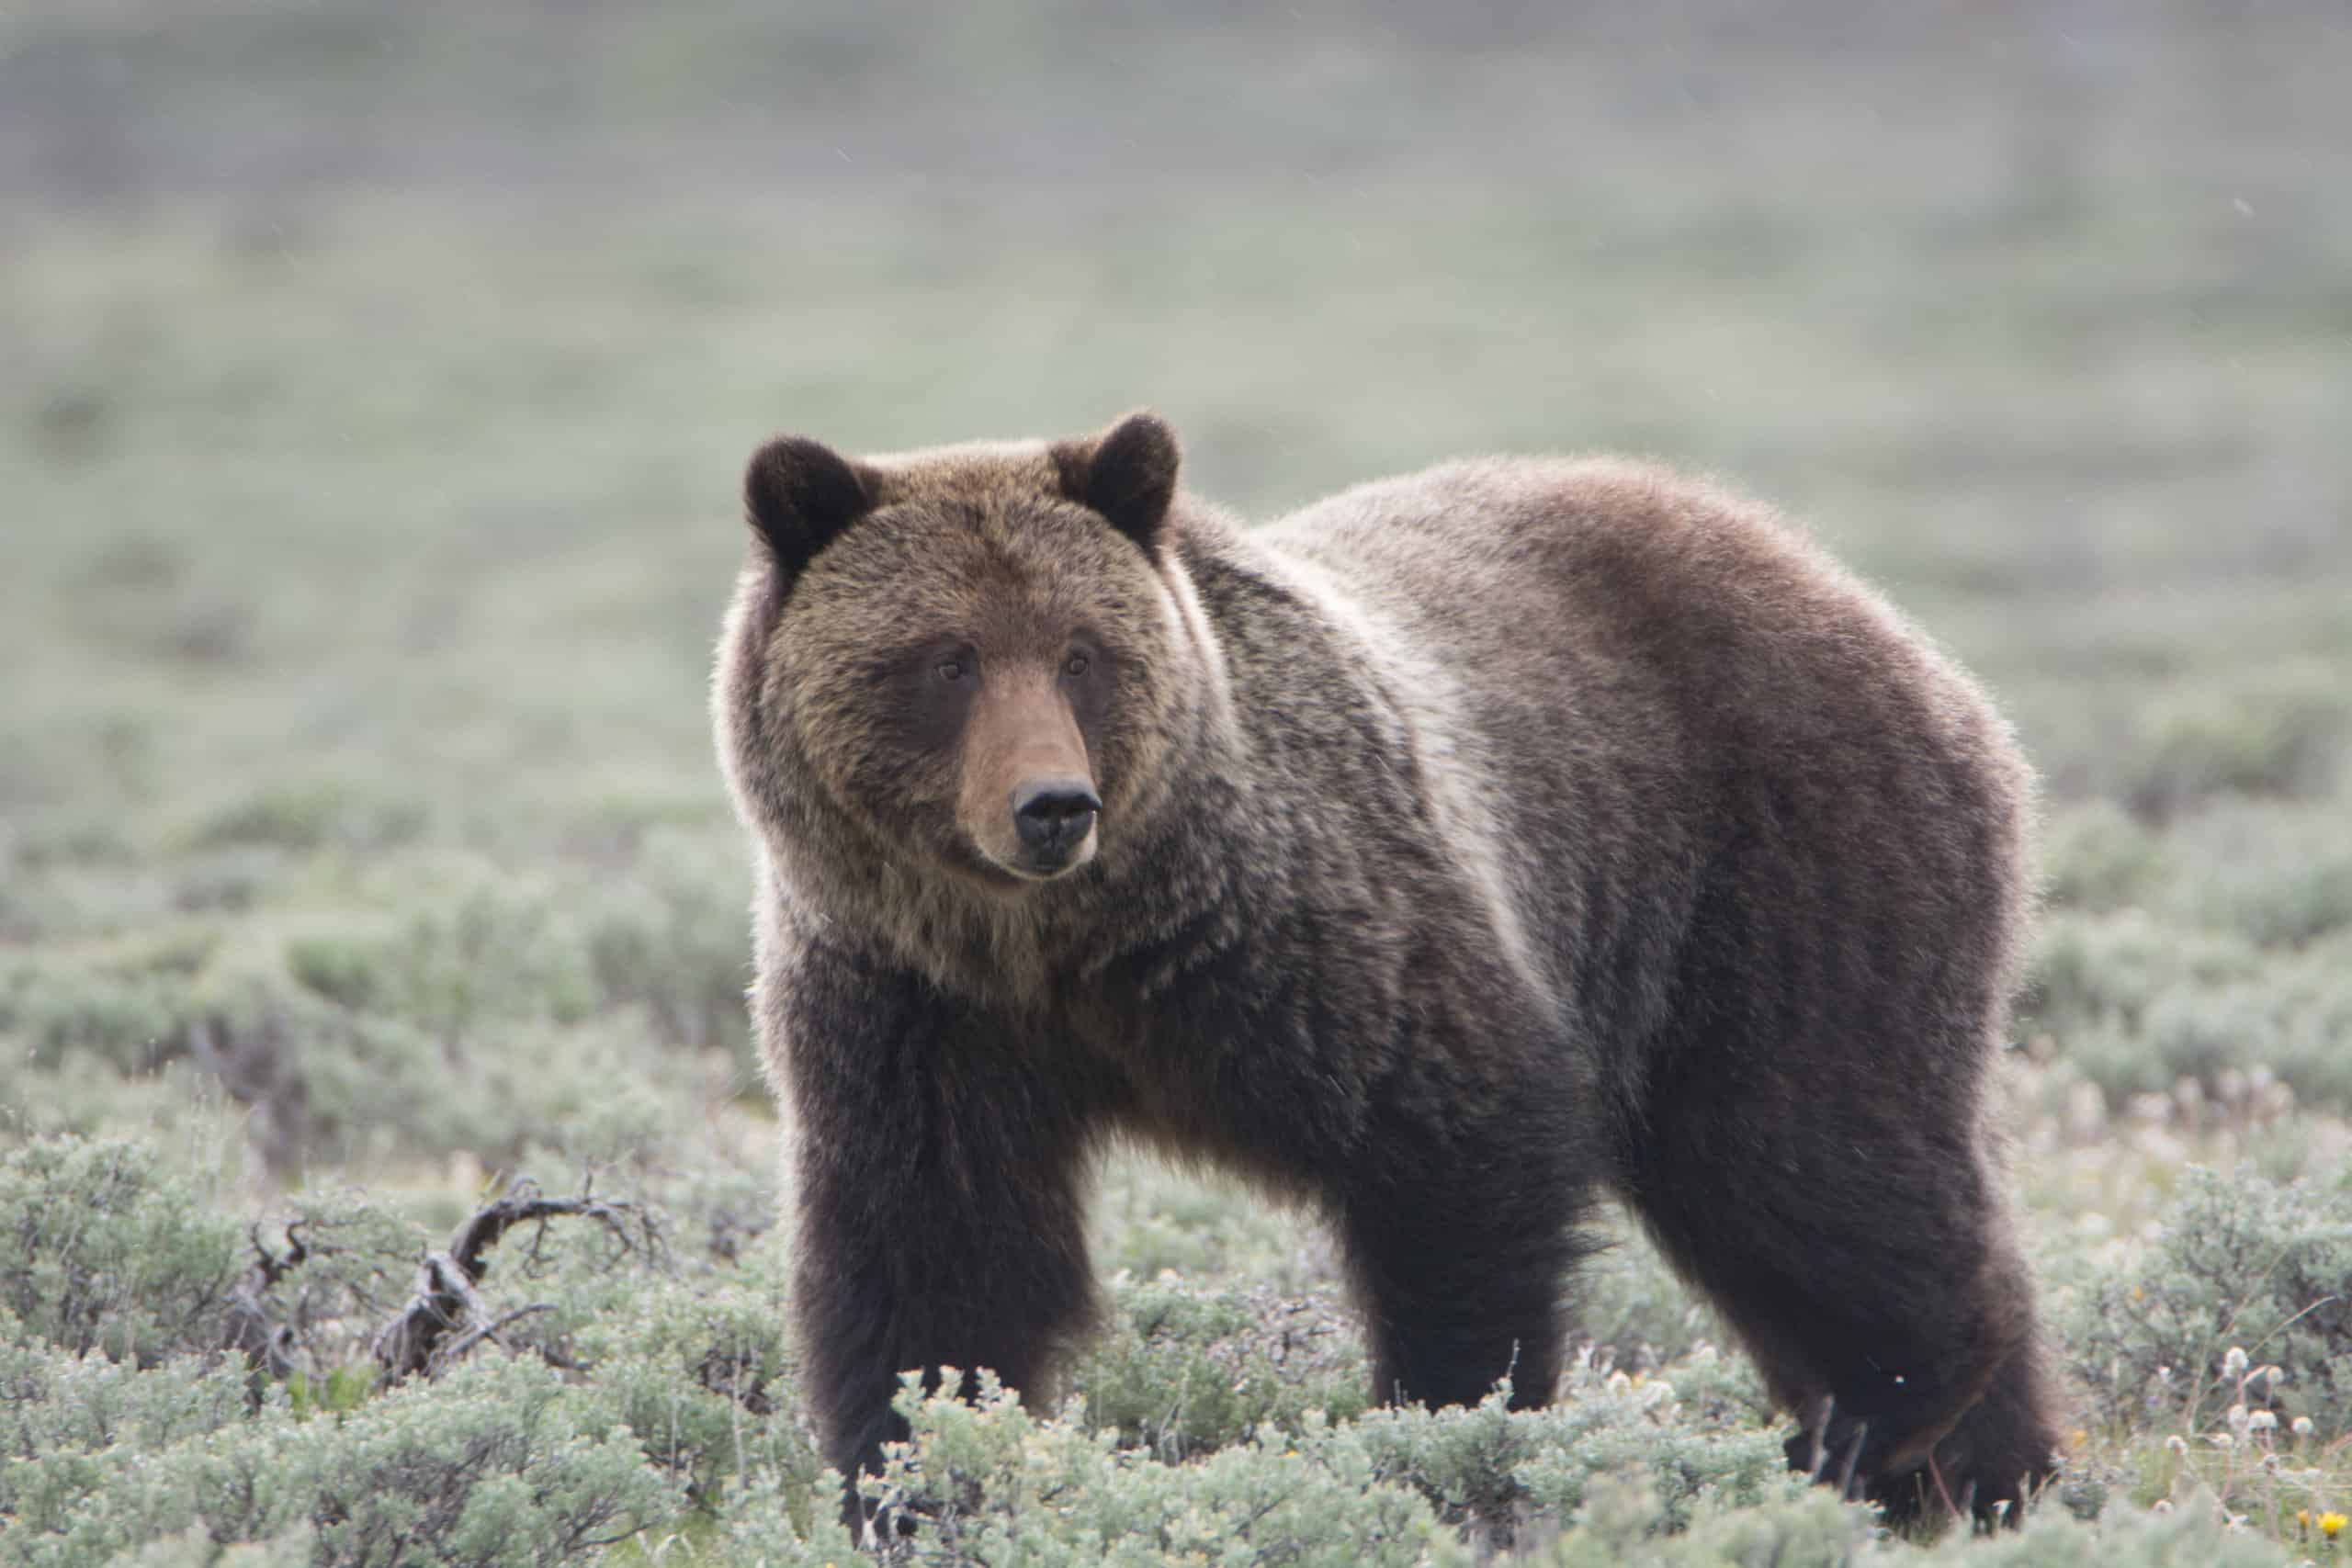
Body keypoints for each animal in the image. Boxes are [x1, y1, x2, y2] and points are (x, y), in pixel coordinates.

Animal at [711, 411, 2062, 1532]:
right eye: (945, 657)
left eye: (1081, 652)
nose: (1052, 804)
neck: (1071, 946)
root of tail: (1865, 603)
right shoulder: (916, 1006)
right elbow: (936, 1261)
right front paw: (914, 1479)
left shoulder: (1314, 934)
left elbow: (1461, 1157)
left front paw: (1451, 1437)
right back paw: (1977, 1476)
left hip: (1780, 873)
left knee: (1810, 1162)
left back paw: (1896, 1426)